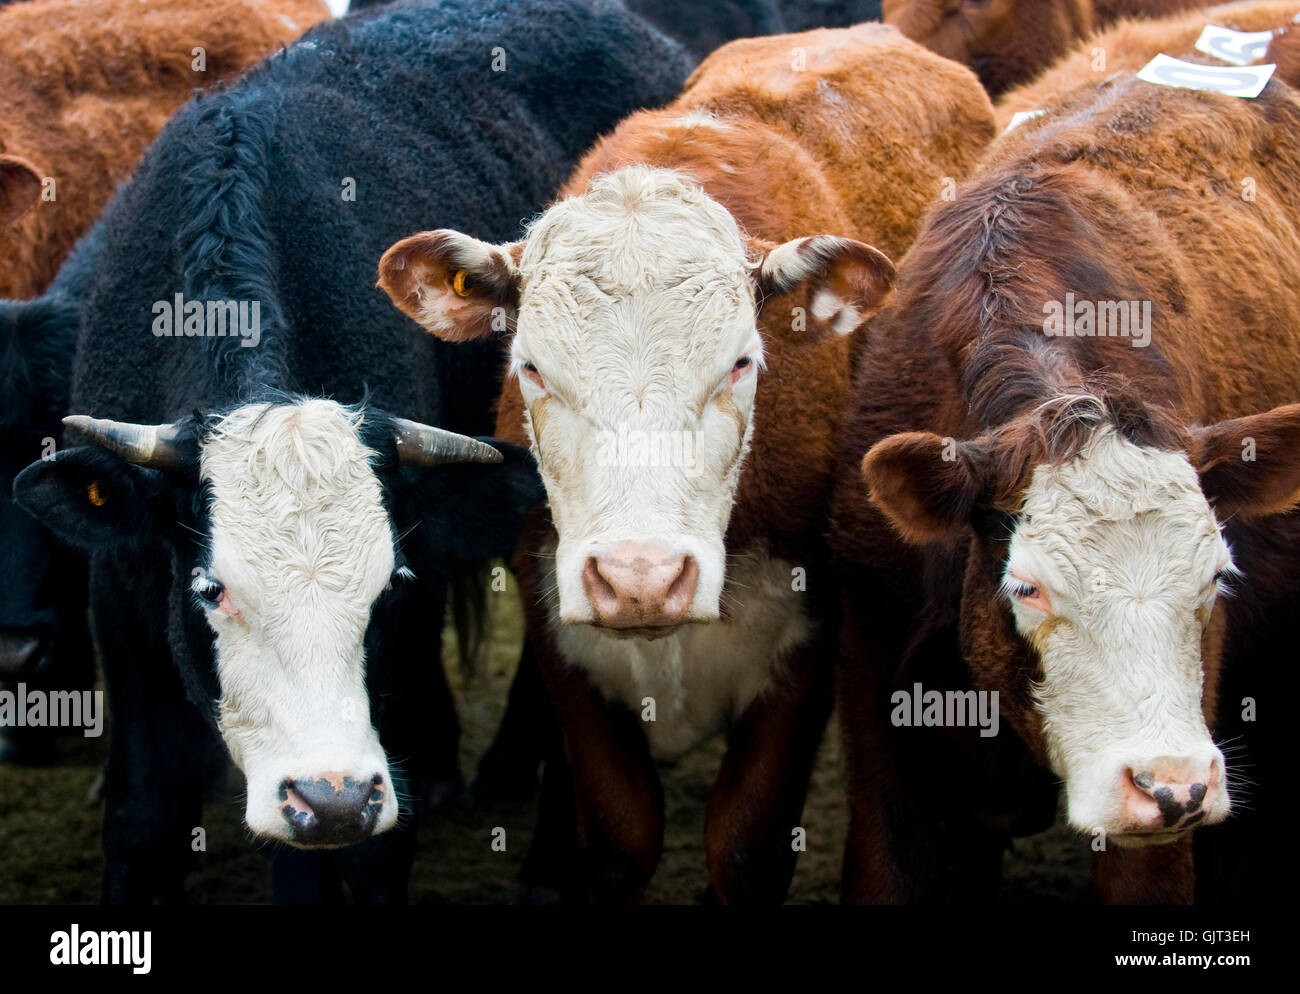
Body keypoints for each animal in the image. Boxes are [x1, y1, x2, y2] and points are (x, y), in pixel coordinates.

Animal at [378, 23, 996, 903]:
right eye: (529, 367)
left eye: (742, 362)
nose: (640, 577)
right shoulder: (560, 638)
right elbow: (619, 835)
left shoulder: (810, 645)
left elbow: (745, 844)